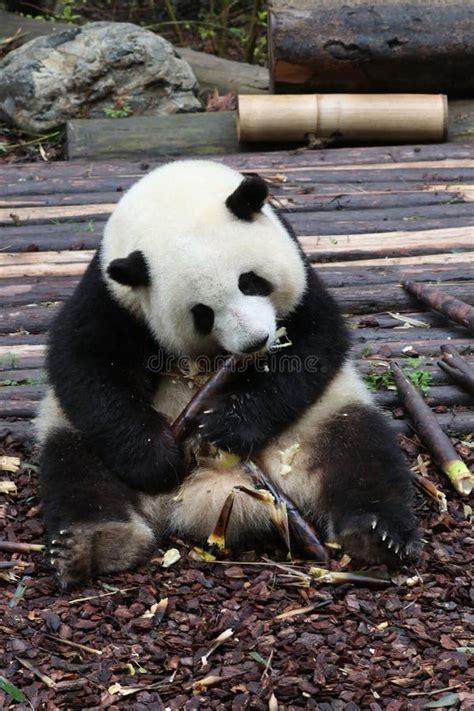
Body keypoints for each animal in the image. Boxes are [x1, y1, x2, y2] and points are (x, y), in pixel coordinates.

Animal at [36, 159, 419, 585]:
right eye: (202, 314)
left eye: (251, 281)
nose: (255, 342)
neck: (175, 192)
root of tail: (221, 484)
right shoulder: (112, 294)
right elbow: (85, 364)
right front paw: (157, 457)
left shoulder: (299, 272)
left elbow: (314, 344)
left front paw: (230, 424)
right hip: (80, 436)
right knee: (78, 467)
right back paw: (92, 541)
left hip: (318, 420)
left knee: (360, 448)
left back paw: (377, 531)